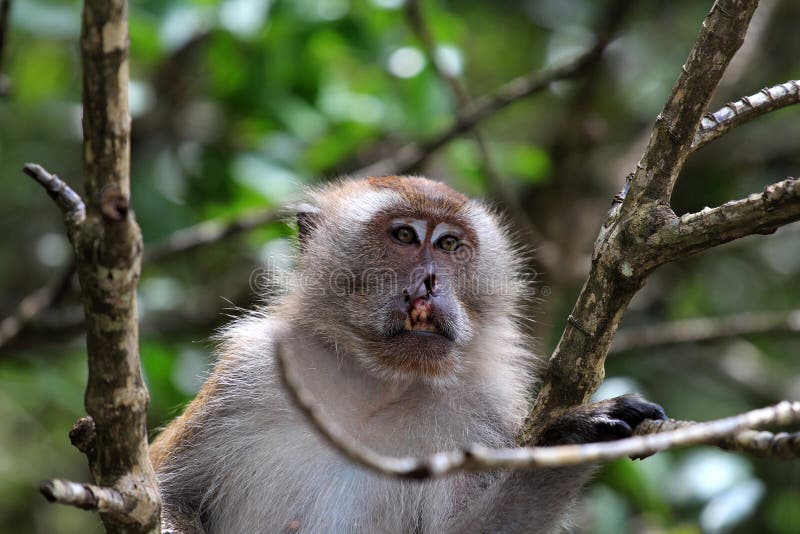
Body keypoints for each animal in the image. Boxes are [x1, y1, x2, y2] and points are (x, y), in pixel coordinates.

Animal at [150, 175, 666, 533]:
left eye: (449, 244)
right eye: (403, 236)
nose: (430, 281)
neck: (378, 384)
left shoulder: (482, 412)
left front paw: (573, 438)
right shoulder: (252, 371)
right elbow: (171, 492)